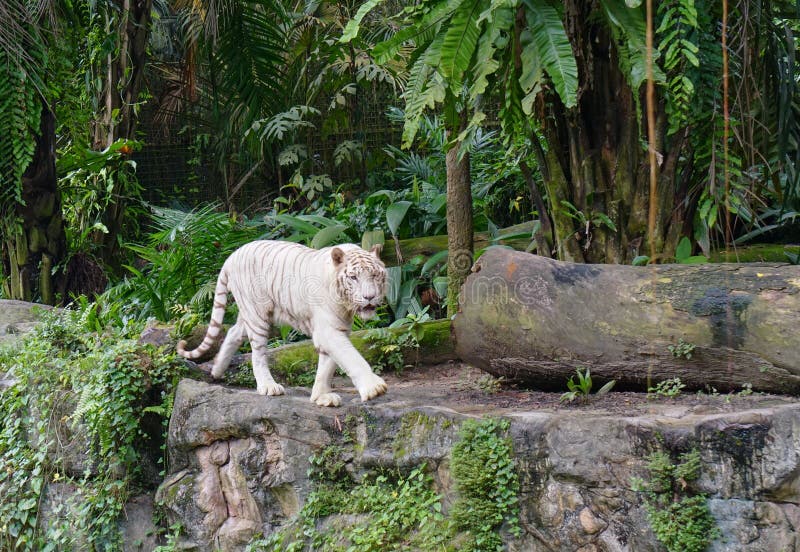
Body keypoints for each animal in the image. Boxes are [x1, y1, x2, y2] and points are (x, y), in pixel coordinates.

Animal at [177, 240, 389, 407]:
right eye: (353, 277)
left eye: (375, 275)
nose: (369, 297)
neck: (345, 305)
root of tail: (232, 256)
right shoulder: (329, 330)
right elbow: (352, 357)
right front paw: (374, 388)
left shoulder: (337, 328)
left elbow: (328, 365)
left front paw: (321, 397)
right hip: (257, 315)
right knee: (257, 354)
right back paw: (268, 386)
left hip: (248, 313)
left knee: (233, 332)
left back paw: (217, 370)